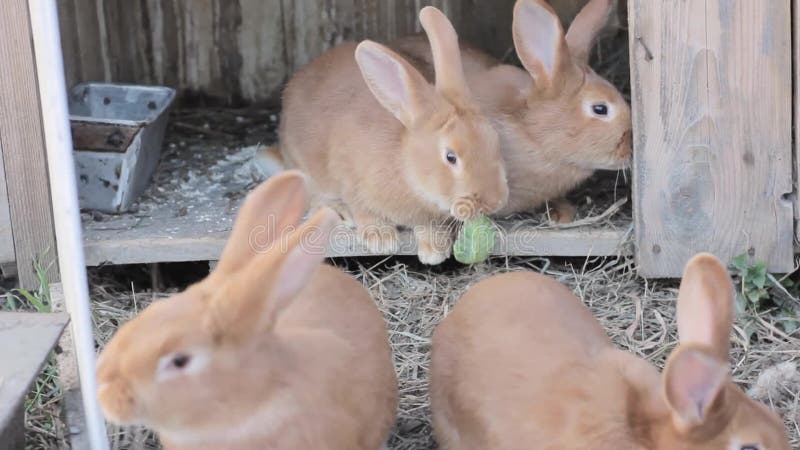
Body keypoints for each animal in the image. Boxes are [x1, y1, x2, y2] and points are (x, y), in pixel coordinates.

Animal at [279, 6, 508, 265]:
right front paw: (380, 239)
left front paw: (434, 250)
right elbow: (362, 208)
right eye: (451, 157)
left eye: (495, 142)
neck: (406, 166)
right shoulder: (350, 177)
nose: (495, 201)